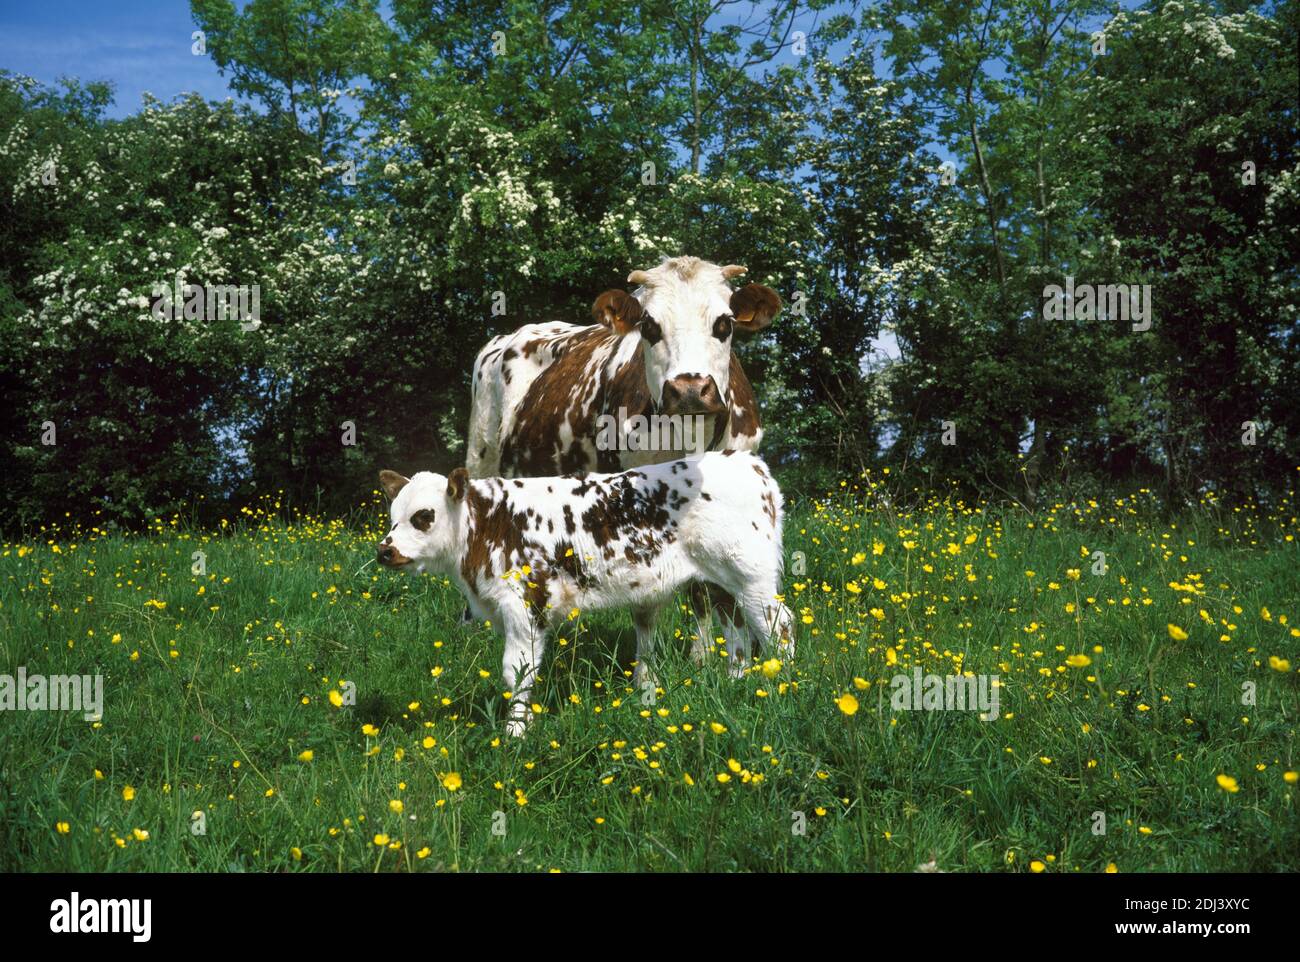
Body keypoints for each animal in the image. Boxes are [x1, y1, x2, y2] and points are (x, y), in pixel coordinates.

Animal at [376, 451, 795, 735]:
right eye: (393, 516)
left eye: (424, 516)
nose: (385, 550)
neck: (486, 525)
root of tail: (746, 462)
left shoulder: (525, 606)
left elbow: (517, 671)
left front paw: (515, 733)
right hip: (718, 582)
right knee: (735, 631)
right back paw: (736, 682)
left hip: (752, 576)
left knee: (779, 626)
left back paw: (783, 687)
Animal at [463, 256, 782, 662]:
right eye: (649, 326)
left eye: (724, 323)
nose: (690, 389)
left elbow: (706, 585)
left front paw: (703, 657)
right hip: (480, 457)